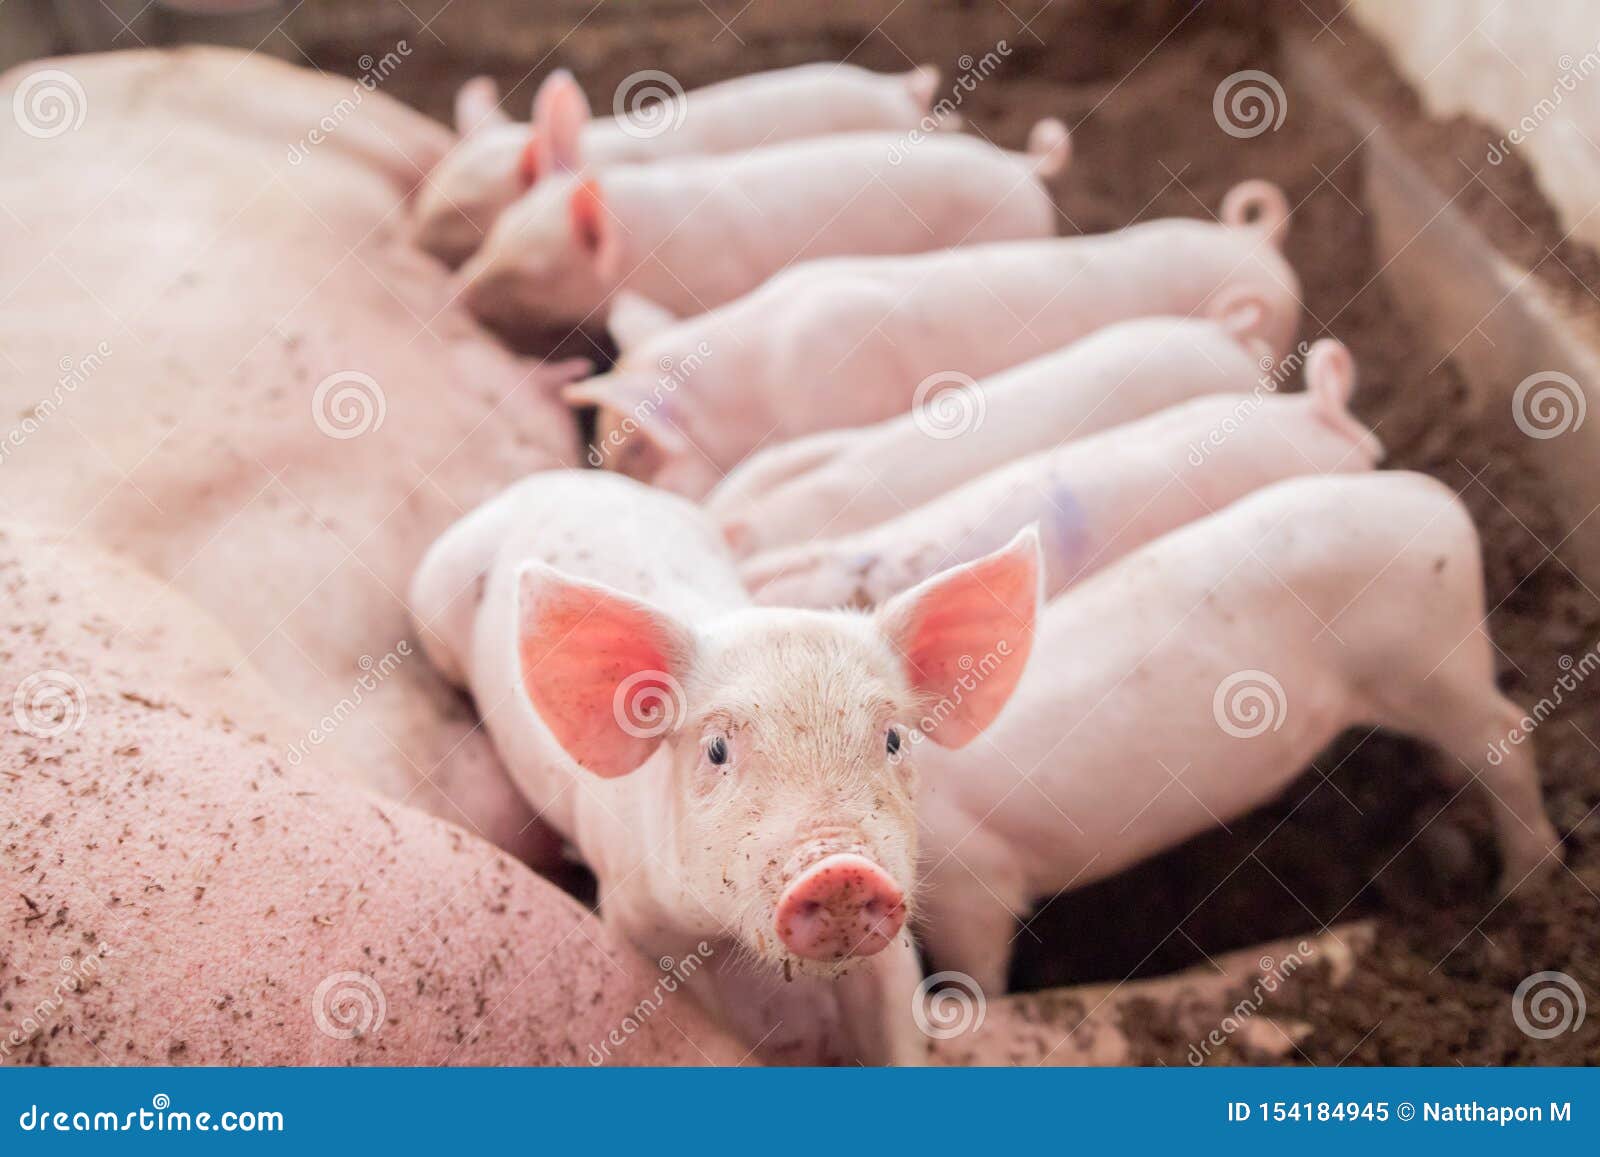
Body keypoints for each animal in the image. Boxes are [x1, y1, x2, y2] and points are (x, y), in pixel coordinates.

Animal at [912, 472, 1565, 995]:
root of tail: (1432, 499)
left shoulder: (970, 880)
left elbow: (975, 973)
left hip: (1426, 664)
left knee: (1507, 737)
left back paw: (1523, 884)